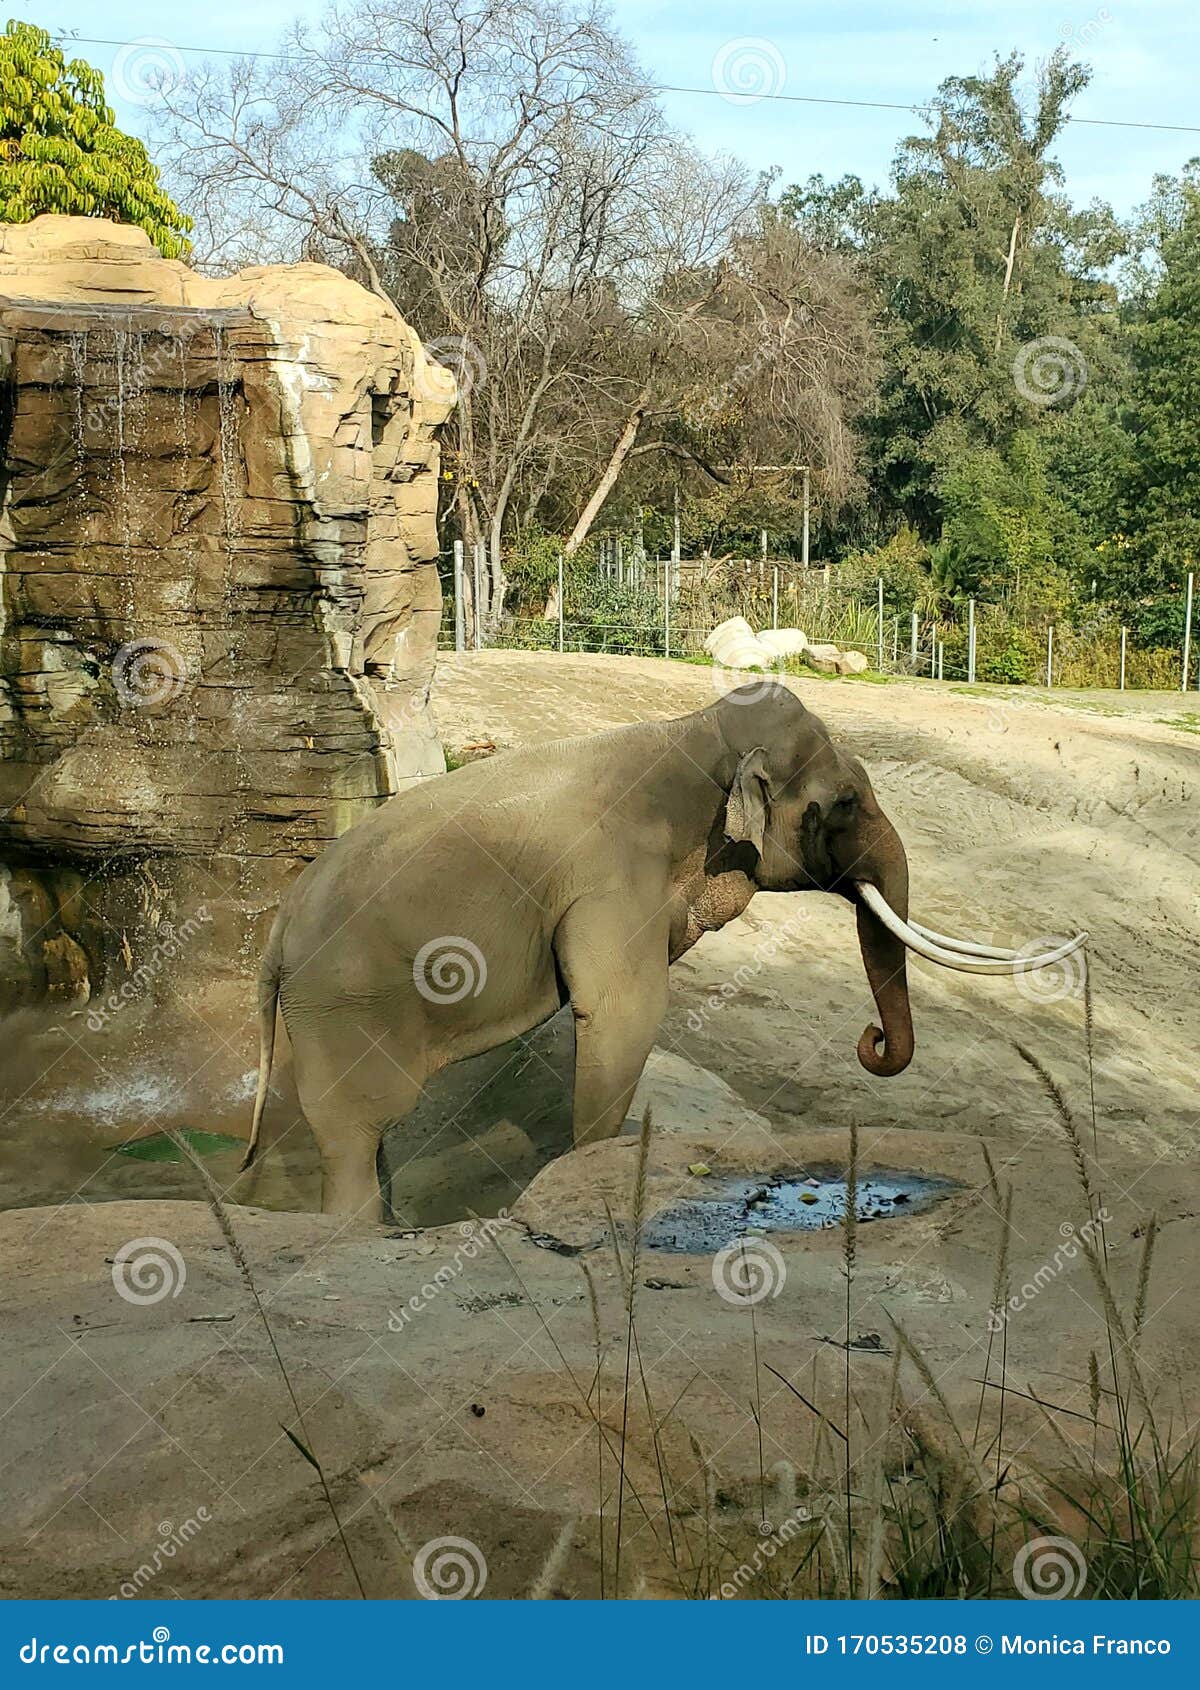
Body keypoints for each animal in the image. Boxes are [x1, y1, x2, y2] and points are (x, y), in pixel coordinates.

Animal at [240, 681, 1085, 1219]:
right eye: (844, 802)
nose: (871, 1039)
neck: (690, 729)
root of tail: (277, 931)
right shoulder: (612, 880)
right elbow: (624, 1014)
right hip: (347, 1001)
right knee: (355, 1135)